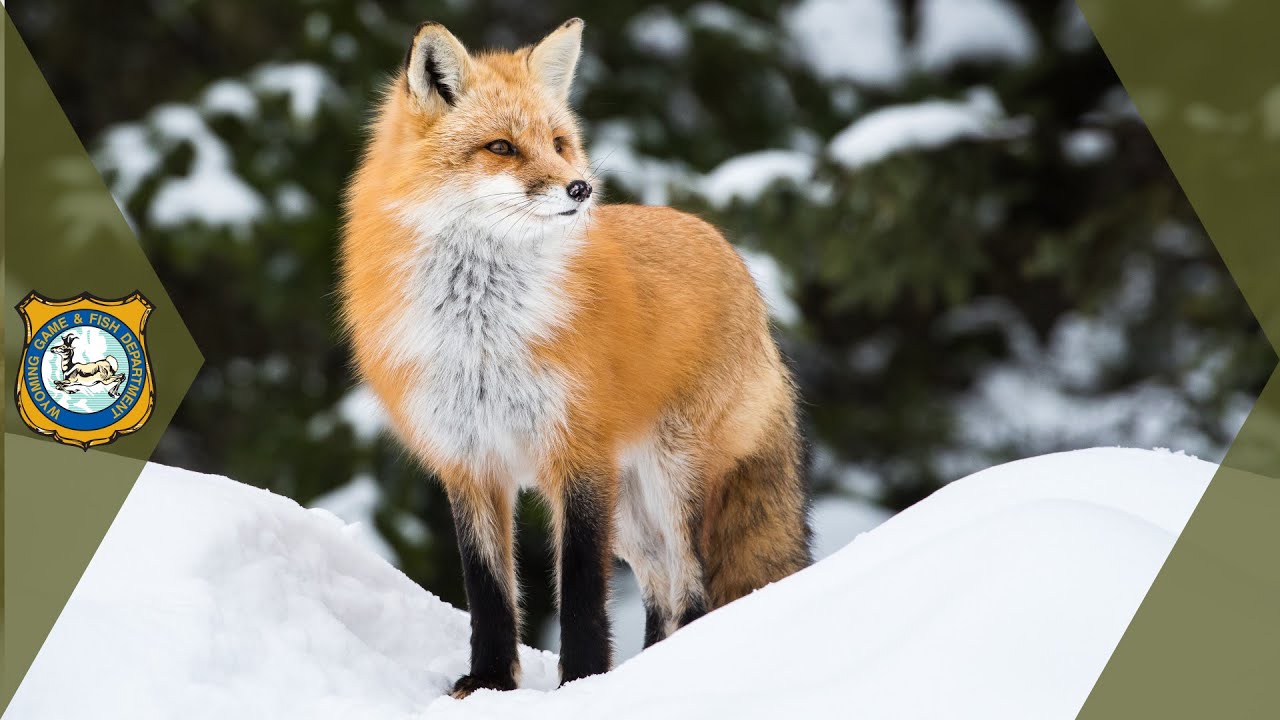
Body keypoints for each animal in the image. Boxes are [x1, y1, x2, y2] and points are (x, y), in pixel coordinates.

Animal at [339, 18, 811, 698]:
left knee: (693, 586)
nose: (581, 188)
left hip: (672, 479)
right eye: (501, 147)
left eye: (559, 144)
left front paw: (583, 682)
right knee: (663, 592)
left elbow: (582, 589)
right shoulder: (469, 461)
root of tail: (731, 254)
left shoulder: (579, 452)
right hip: (634, 515)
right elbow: (489, 591)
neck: (482, 334)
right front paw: (489, 683)